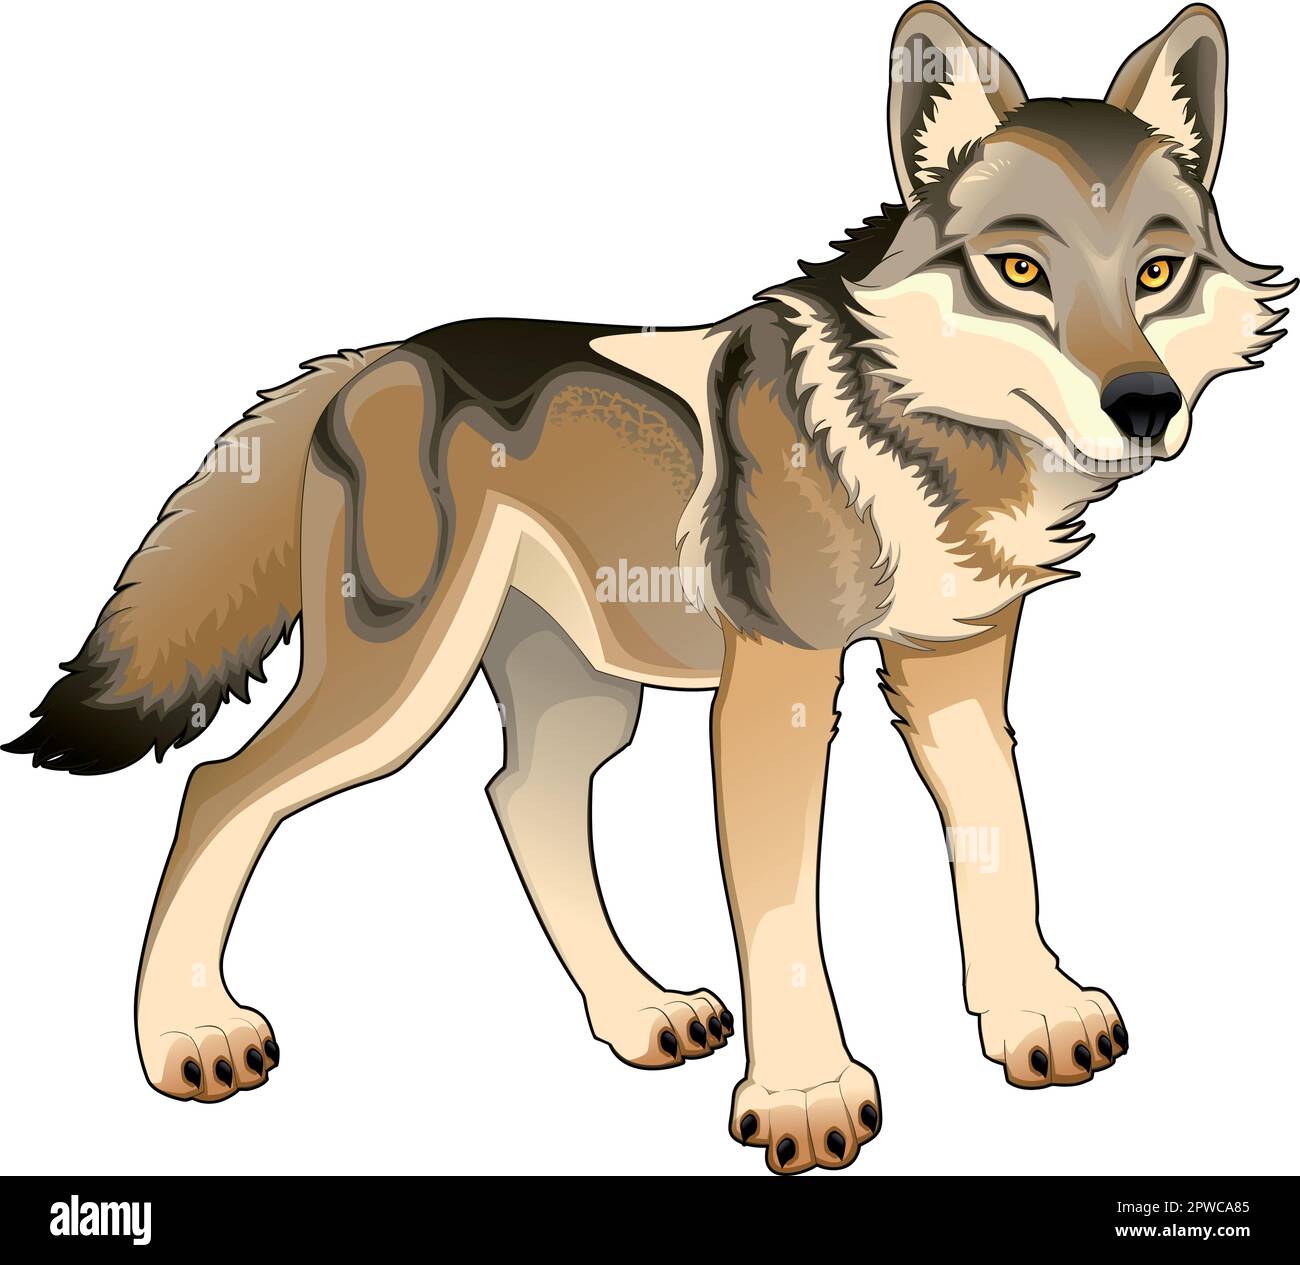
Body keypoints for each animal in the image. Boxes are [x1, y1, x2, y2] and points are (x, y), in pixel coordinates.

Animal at [6, 3, 1289, 1174]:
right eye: (1020, 269)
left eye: (1158, 272)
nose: (1143, 403)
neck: (914, 436)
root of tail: (372, 356)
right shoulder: (775, 689)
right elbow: (781, 912)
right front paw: (806, 1096)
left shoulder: (955, 665)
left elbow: (1000, 842)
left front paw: (1035, 1015)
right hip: (396, 694)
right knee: (218, 789)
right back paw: (186, 1037)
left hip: (581, 698)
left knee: (519, 798)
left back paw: (638, 1014)